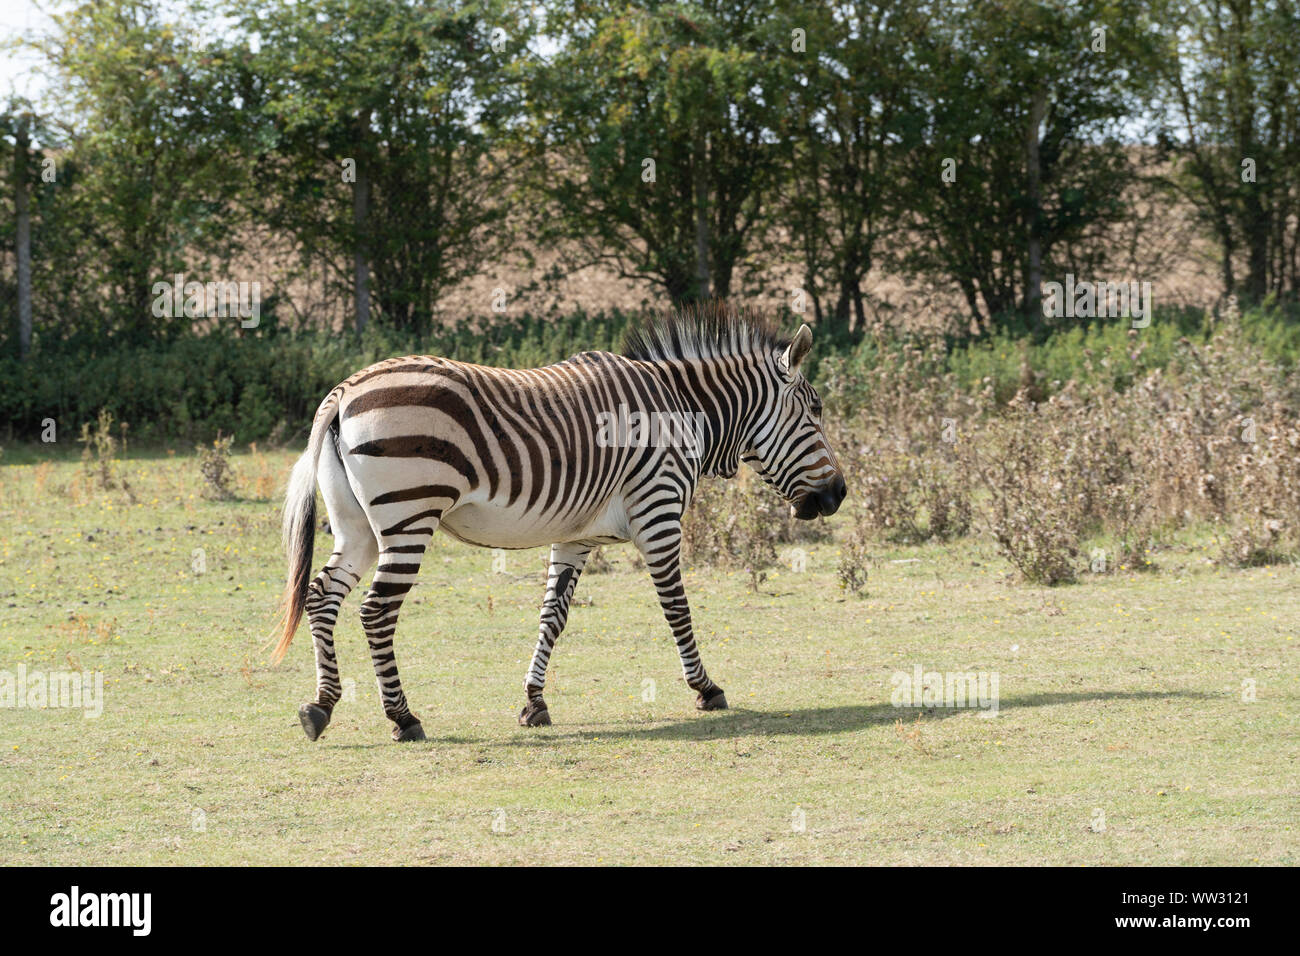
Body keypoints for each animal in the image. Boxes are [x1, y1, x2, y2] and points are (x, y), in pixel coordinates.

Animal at [272, 304, 847, 742]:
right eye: (815, 410)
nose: (839, 494)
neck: (682, 409)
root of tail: (345, 390)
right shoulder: (659, 514)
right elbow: (678, 610)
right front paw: (706, 690)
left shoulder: (575, 537)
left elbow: (553, 615)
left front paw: (534, 703)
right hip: (409, 515)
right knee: (375, 612)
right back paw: (403, 718)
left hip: (358, 527)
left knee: (321, 595)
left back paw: (320, 706)